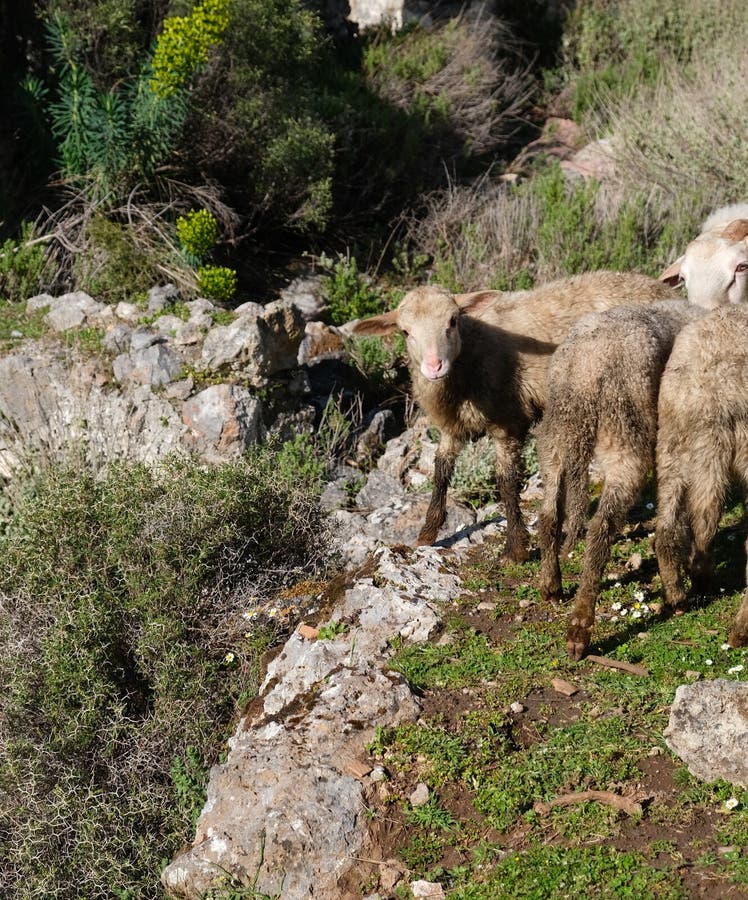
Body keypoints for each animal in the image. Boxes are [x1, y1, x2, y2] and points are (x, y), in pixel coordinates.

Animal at [346, 270, 675, 560]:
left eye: (453, 321)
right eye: (405, 331)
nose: (434, 366)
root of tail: (662, 288)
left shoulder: (508, 419)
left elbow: (505, 481)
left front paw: (515, 548)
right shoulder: (452, 427)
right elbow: (440, 471)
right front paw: (428, 532)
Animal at [536, 224, 748, 659]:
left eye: (738, 268)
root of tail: (585, 369)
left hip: (556, 436)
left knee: (548, 513)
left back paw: (551, 586)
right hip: (627, 436)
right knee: (600, 528)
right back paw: (581, 627)